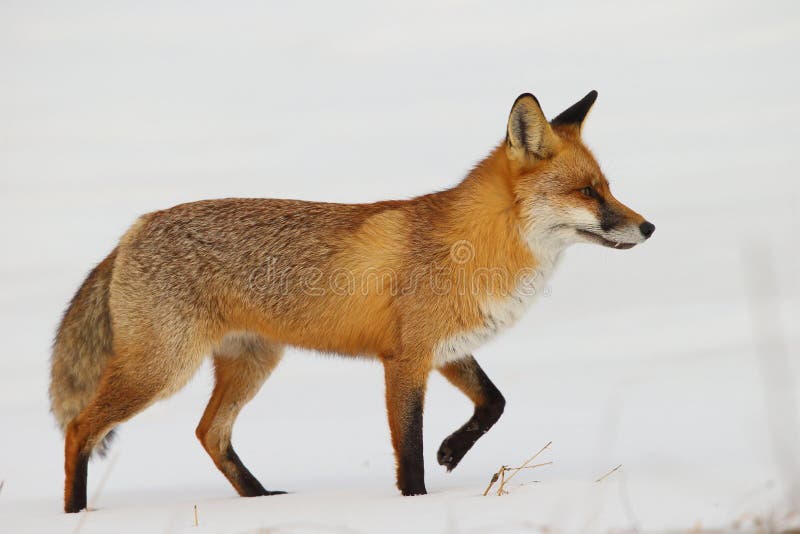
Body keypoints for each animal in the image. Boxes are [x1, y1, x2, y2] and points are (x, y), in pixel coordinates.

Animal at [50, 90, 654, 513]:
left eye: (607, 186)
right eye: (588, 192)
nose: (648, 227)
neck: (473, 245)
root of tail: (133, 229)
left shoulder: (444, 348)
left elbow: (494, 402)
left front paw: (451, 451)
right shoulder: (405, 360)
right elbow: (408, 452)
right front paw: (416, 505)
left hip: (251, 364)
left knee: (209, 433)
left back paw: (259, 501)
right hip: (162, 369)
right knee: (81, 427)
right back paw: (77, 512)